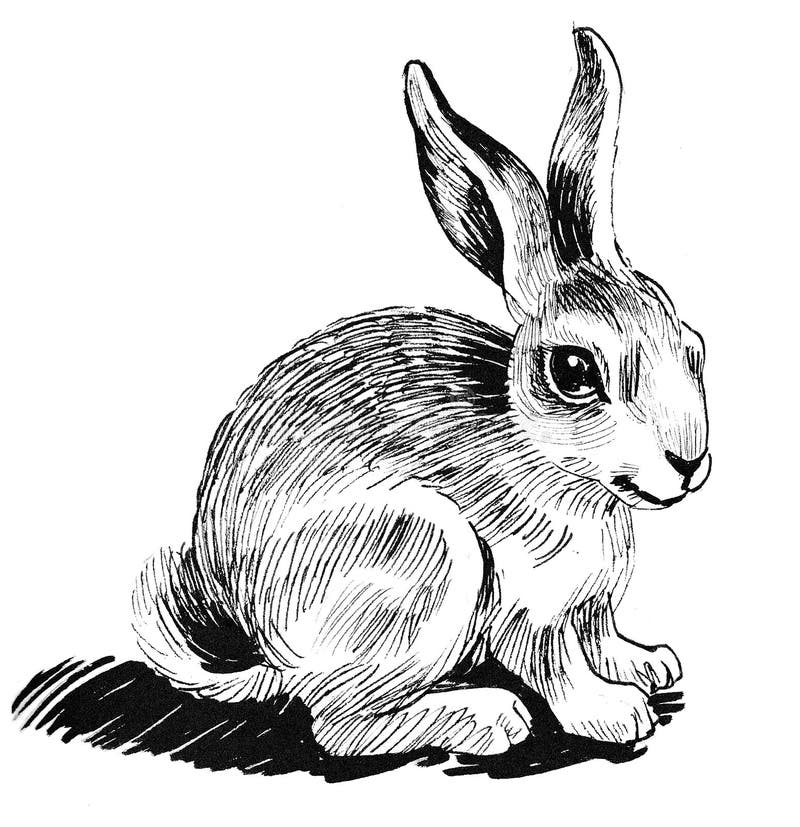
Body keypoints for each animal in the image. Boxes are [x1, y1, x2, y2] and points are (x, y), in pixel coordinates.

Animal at [133, 27, 710, 758]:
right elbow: (554, 665)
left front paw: (649, 663)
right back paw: (487, 717)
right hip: (429, 555)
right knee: (339, 722)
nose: (688, 461)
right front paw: (613, 713)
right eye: (575, 371)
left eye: (691, 343)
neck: (551, 461)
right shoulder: (526, 607)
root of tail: (267, 650)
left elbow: (600, 637)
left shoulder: (590, 607)